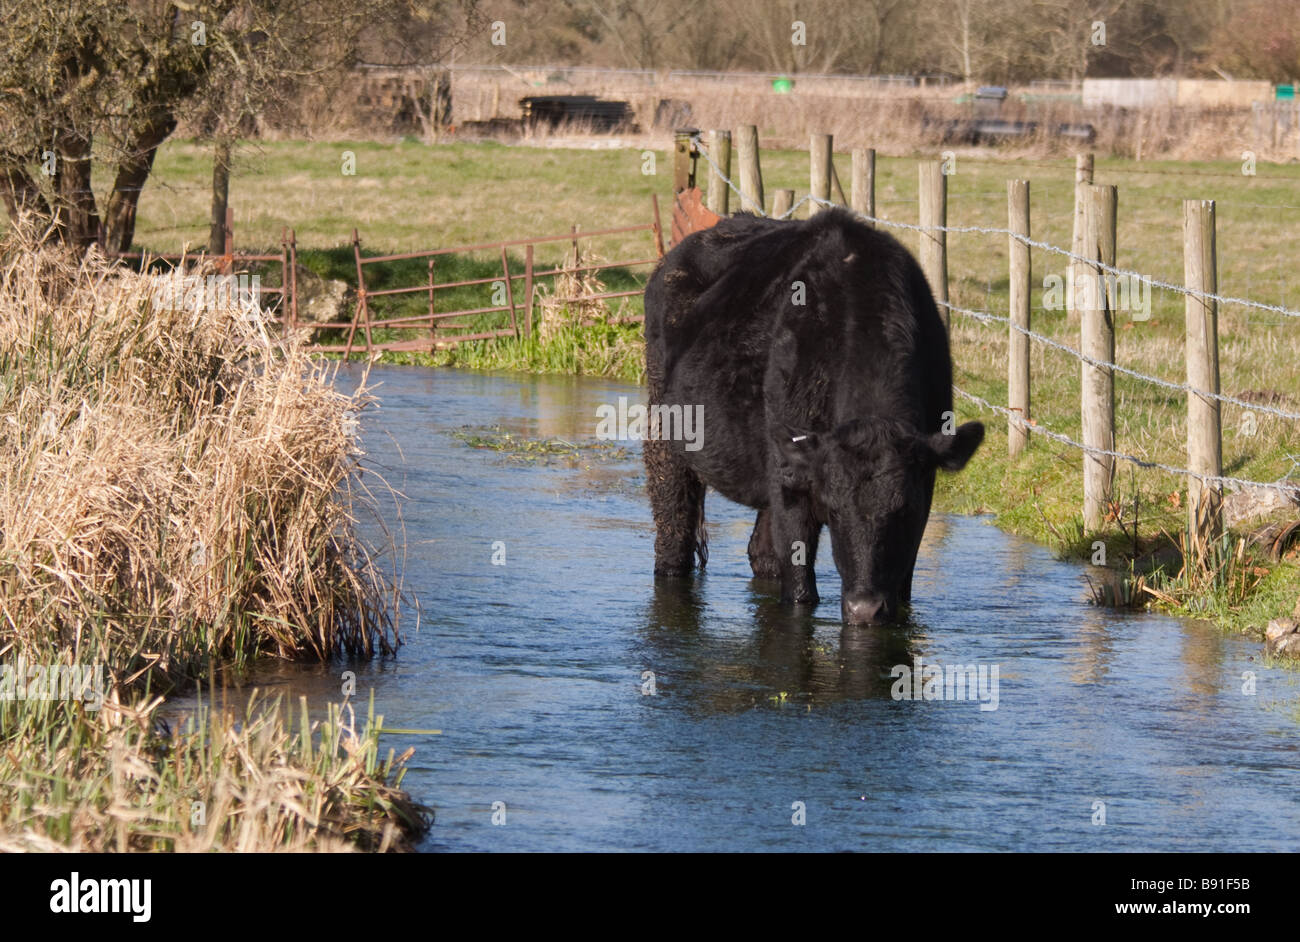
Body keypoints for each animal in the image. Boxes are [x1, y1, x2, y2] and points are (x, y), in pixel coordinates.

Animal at [642, 207, 983, 624]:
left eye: (903, 509)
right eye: (833, 510)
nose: (864, 608)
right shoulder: (790, 482)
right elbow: (801, 592)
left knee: (762, 554)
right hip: (663, 429)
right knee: (674, 528)